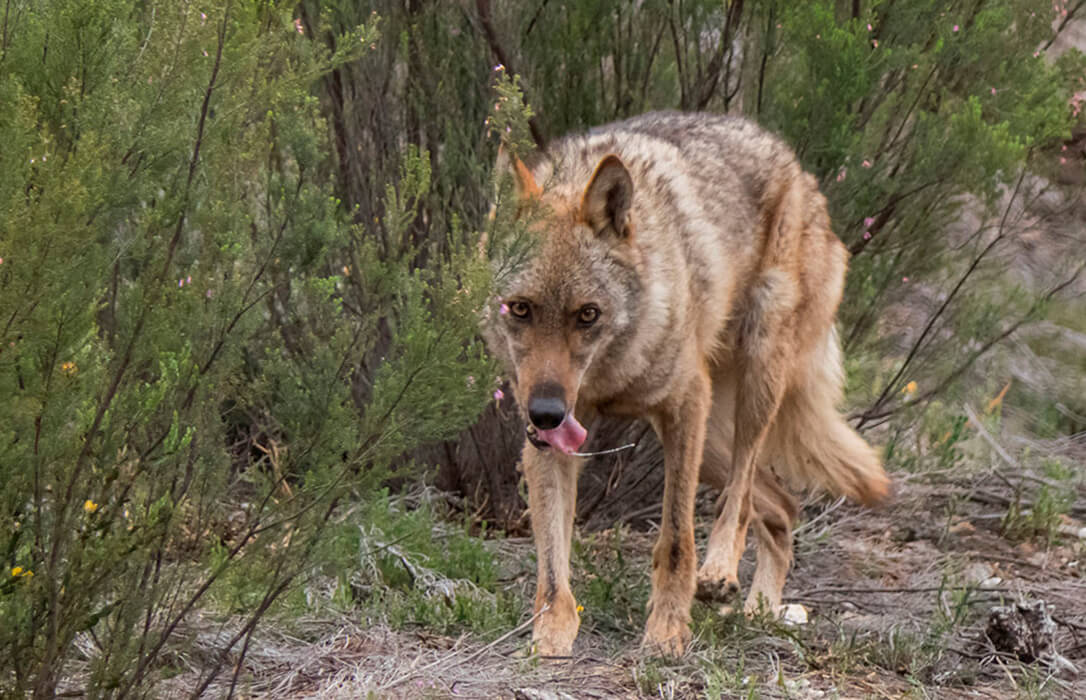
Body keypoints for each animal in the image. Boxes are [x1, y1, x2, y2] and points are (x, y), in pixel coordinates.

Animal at [482, 111, 889, 657]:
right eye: (520, 308)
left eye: (587, 315)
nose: (546, 413)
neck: (611, 373)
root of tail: (800, 171)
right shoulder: (549, 442)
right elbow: (551, 559)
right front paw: (551, 634)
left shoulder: (683, 407)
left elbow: (676, 539)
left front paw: (667, 631)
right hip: (713, 442)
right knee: (783, 506)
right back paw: (761, 611)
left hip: (750, 389)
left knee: (741, 497)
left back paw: (720, 573)